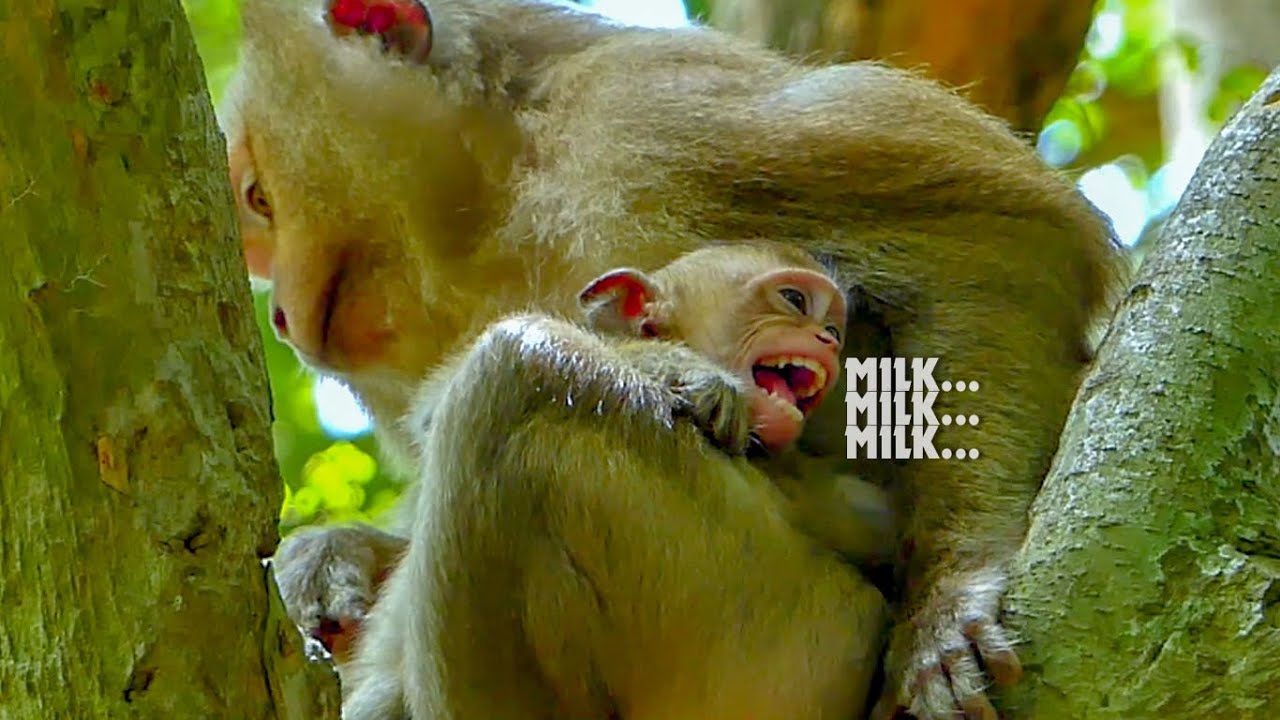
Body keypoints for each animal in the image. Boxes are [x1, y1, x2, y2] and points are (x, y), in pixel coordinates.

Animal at [221, 0, 1127, 717]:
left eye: (259, 196)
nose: (278, 310)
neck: (504, 186)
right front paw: (327, 564)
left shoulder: (651, 110)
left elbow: (1001, 238)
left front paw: (949, 599)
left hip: (774, 644)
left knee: (517, 382)